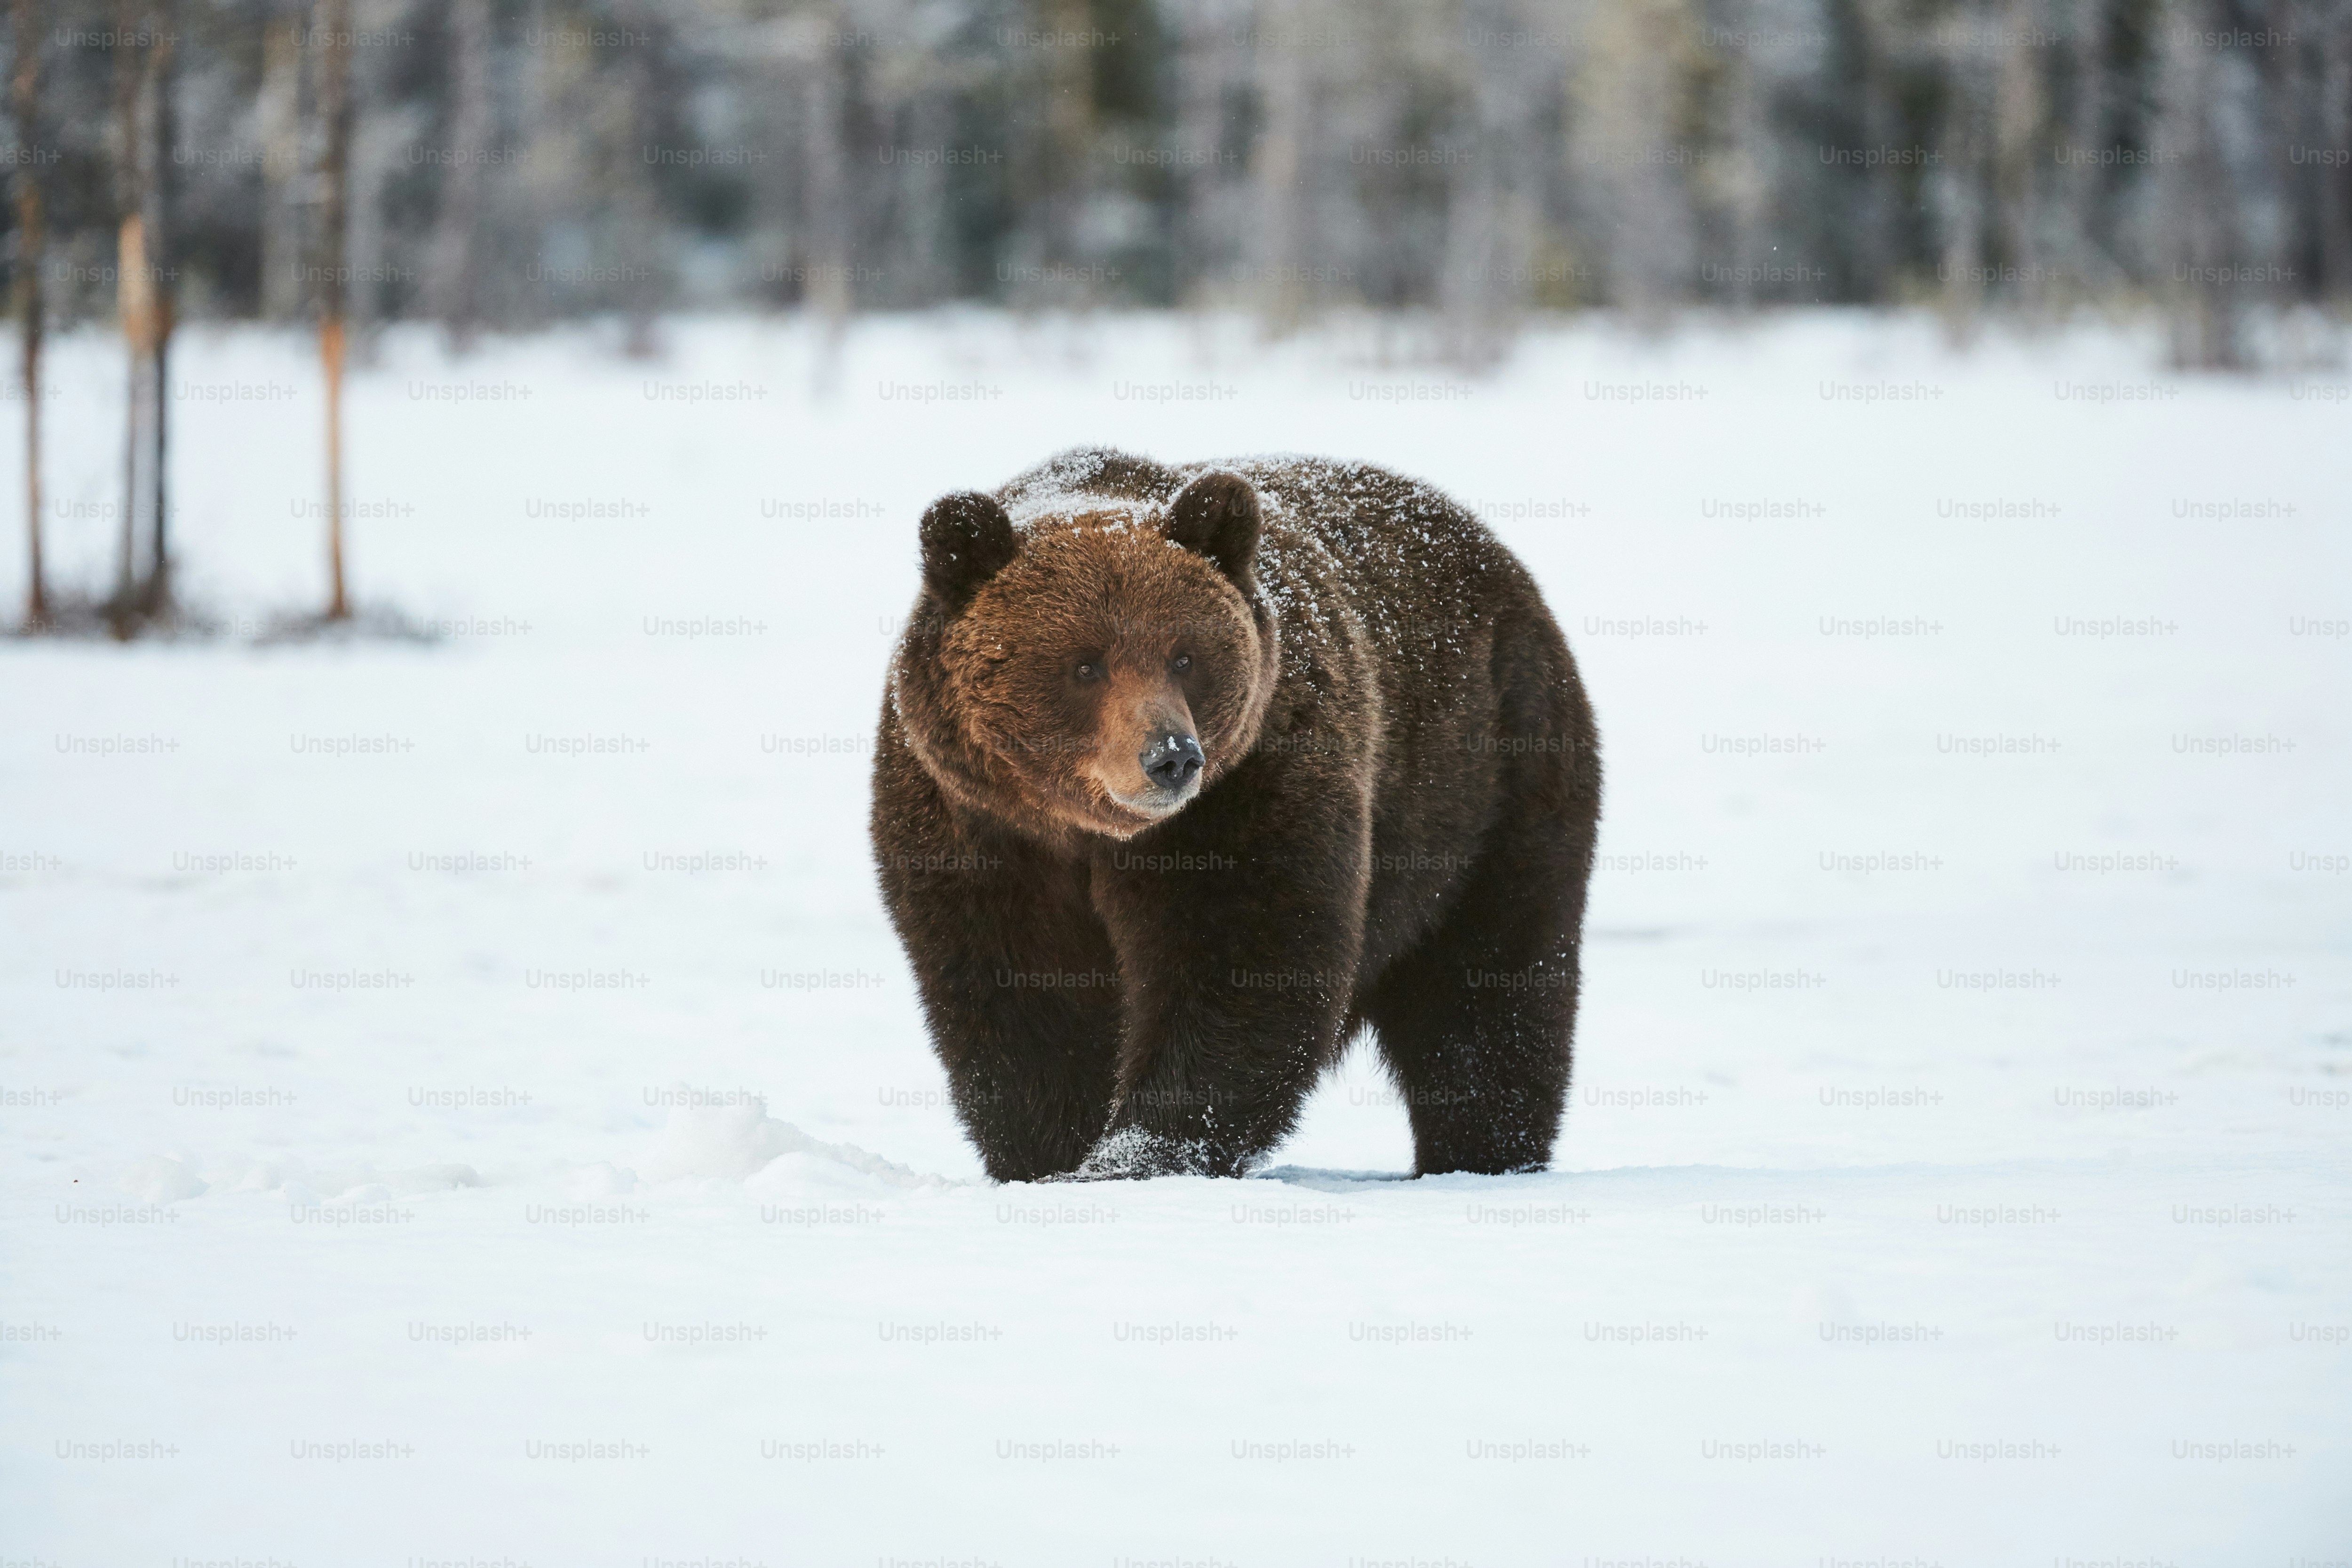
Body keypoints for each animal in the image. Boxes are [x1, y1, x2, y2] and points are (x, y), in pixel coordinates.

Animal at [870, 448, 1600, 1182]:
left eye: (1184, 655)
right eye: (1084, 664)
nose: (1172, 757)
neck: (1086, 832)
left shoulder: (1248, 791)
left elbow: (1238, 968)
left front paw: (1133, 1157)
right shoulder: (973, 825)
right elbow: (1020, 999)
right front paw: (1052, 1158)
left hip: (1490, 785)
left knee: (1490, 988)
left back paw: (1480, 1155)